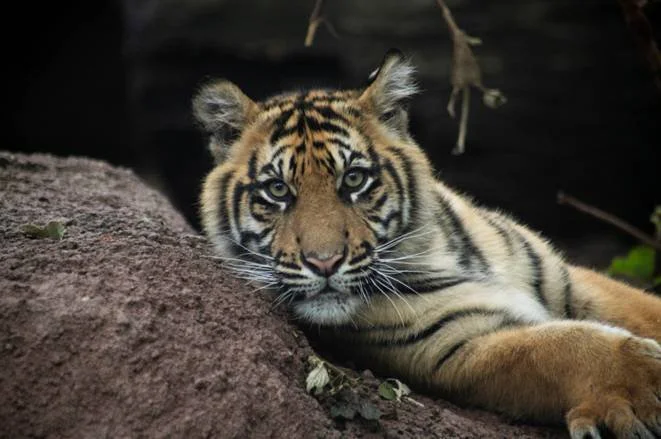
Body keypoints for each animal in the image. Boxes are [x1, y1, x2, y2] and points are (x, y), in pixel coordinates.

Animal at [194, 50, 661, 439]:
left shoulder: (573, 283)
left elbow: (641, 309)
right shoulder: (455, 343)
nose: (324, 263)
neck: (438, 247)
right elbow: (556, 349)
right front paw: (643, 389)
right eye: (277, 190)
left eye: (354, 180)